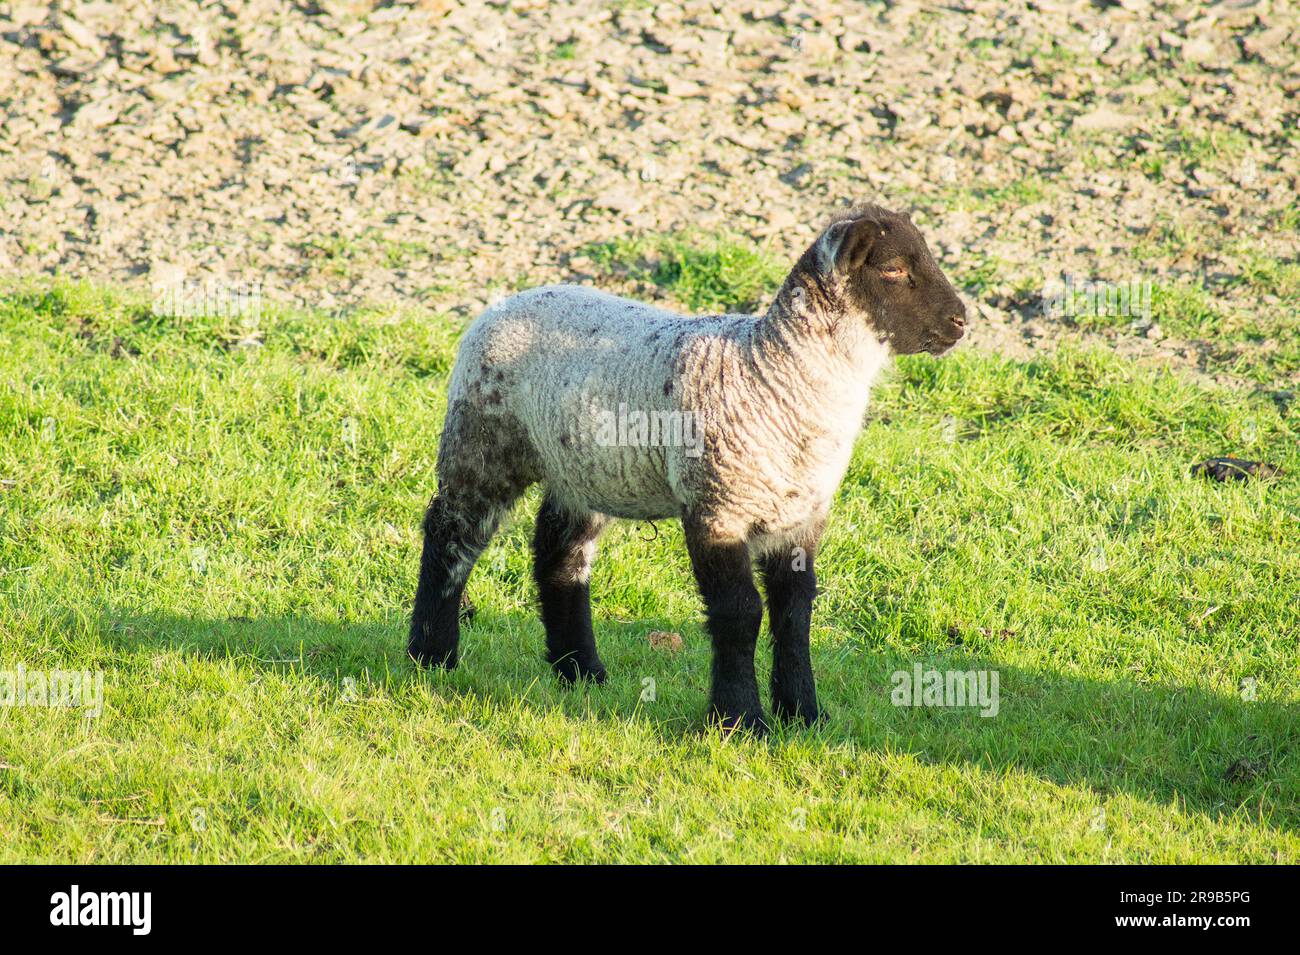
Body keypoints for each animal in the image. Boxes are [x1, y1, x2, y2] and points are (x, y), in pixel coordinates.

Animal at [409, 203, 967, 733]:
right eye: (894, 268)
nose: (962, 321)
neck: (775, 374)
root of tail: (501, 304)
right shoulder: (717, 507)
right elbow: (740, 613)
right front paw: (741, 720)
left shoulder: (799, 516)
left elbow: (795, 612)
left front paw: (804, 714)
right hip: (484, 442)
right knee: (450, 537)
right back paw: (432, 654)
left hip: (581, 469)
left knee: (559, 556)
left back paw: (580, 671)